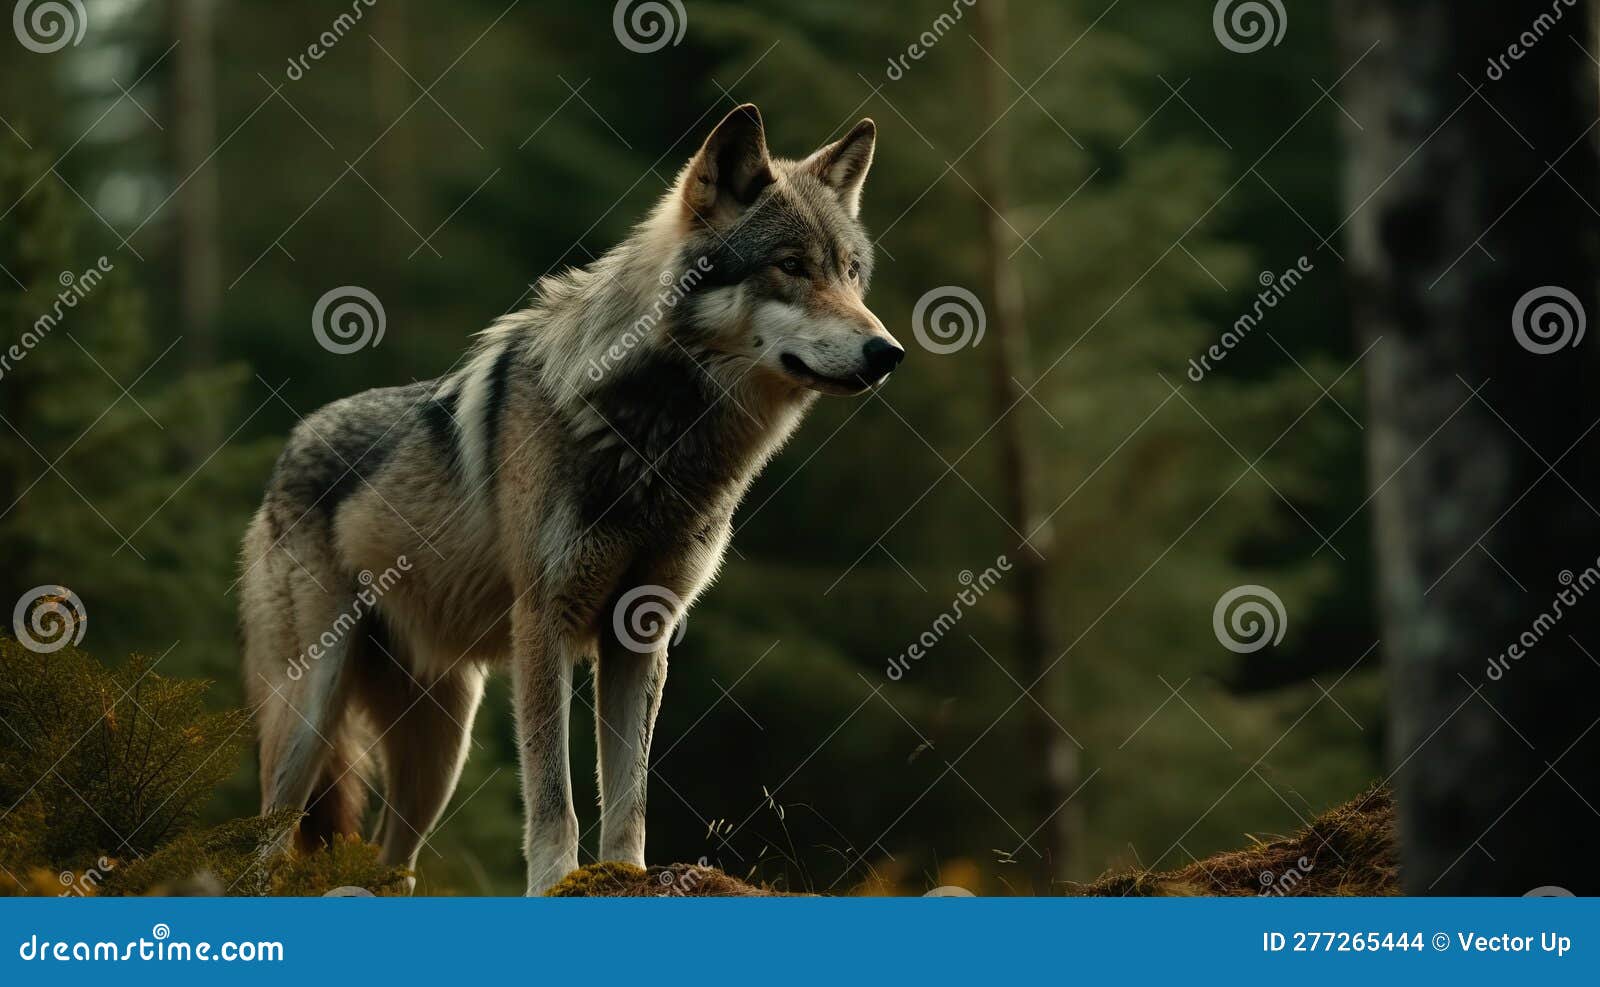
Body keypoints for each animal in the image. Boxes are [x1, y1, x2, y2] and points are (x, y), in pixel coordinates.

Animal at [240, 105, 902, 894]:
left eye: (853, 273)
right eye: (791, 266)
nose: (888, 352)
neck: (657, 439)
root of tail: (290, 445)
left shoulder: (642, 631)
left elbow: (629, 790)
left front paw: (627, 872)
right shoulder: (544, 621)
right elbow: (554, 792)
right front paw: (558, 879)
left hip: (441, 745)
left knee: (391, 864)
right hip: (312, 713)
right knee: (264, 848)